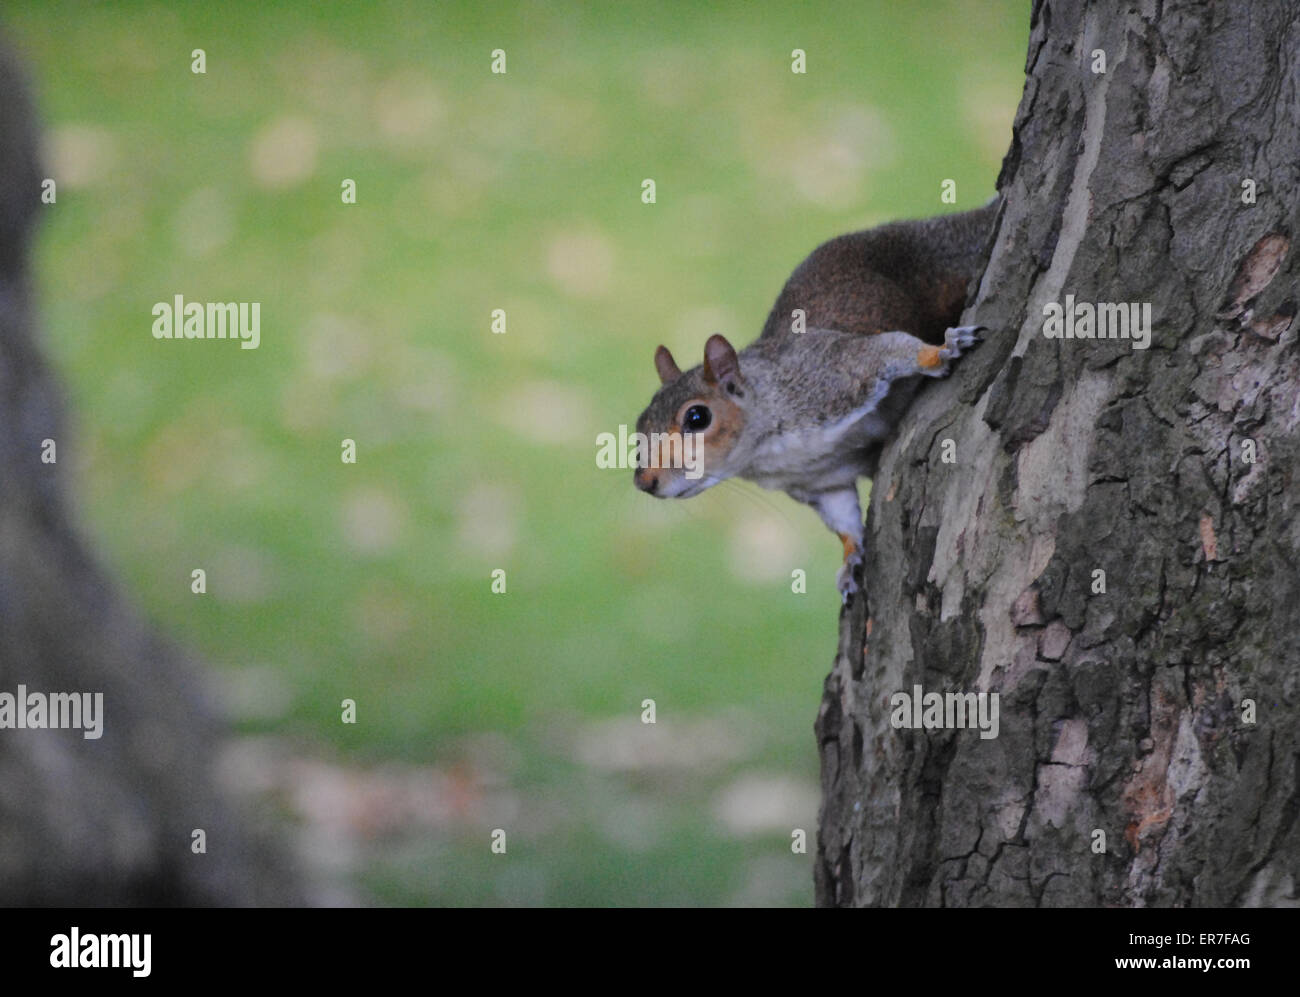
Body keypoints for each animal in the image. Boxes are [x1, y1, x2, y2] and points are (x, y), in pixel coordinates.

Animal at [633, 198, 1000, 598]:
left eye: (697, 418)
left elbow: (892, 348)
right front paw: (851, 559)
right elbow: (842, 518)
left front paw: (941, 351)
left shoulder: (836, 372)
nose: (644, 482)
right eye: (639, 429)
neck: (767, 453)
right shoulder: (821, 483)